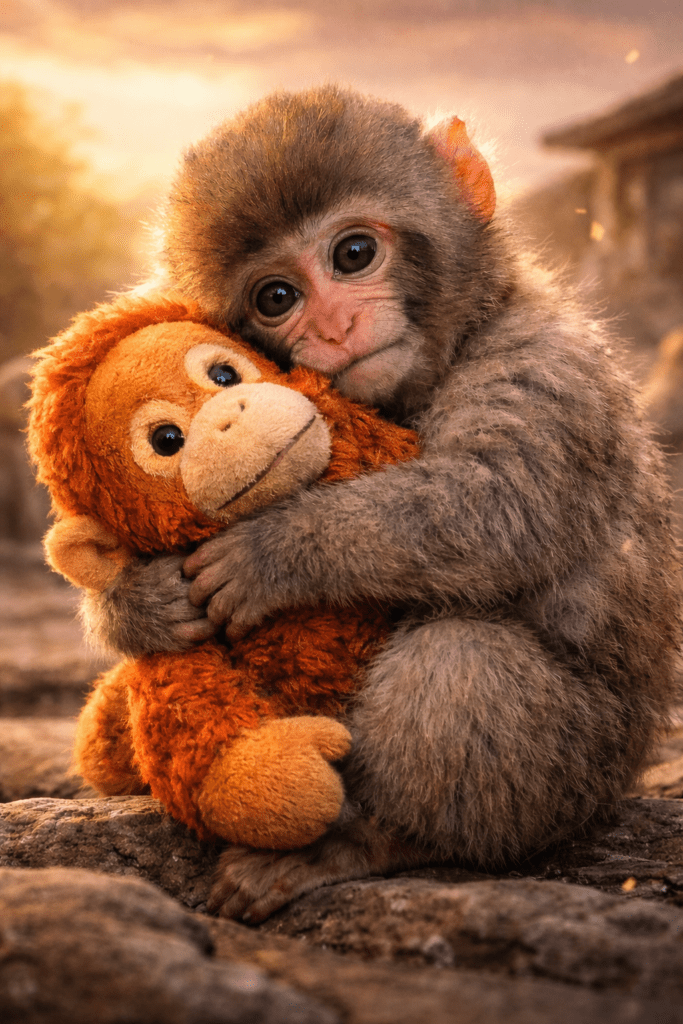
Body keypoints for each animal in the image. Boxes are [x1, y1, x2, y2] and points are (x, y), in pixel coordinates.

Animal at [83, 86, 681, 923]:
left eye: (354, 254)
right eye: (277, 297)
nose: (334, 326)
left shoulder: (544, 365)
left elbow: (500, 504)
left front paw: (278, 550)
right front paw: (139, 601)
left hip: (581, 777)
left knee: (462, 659)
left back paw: (363, 842)